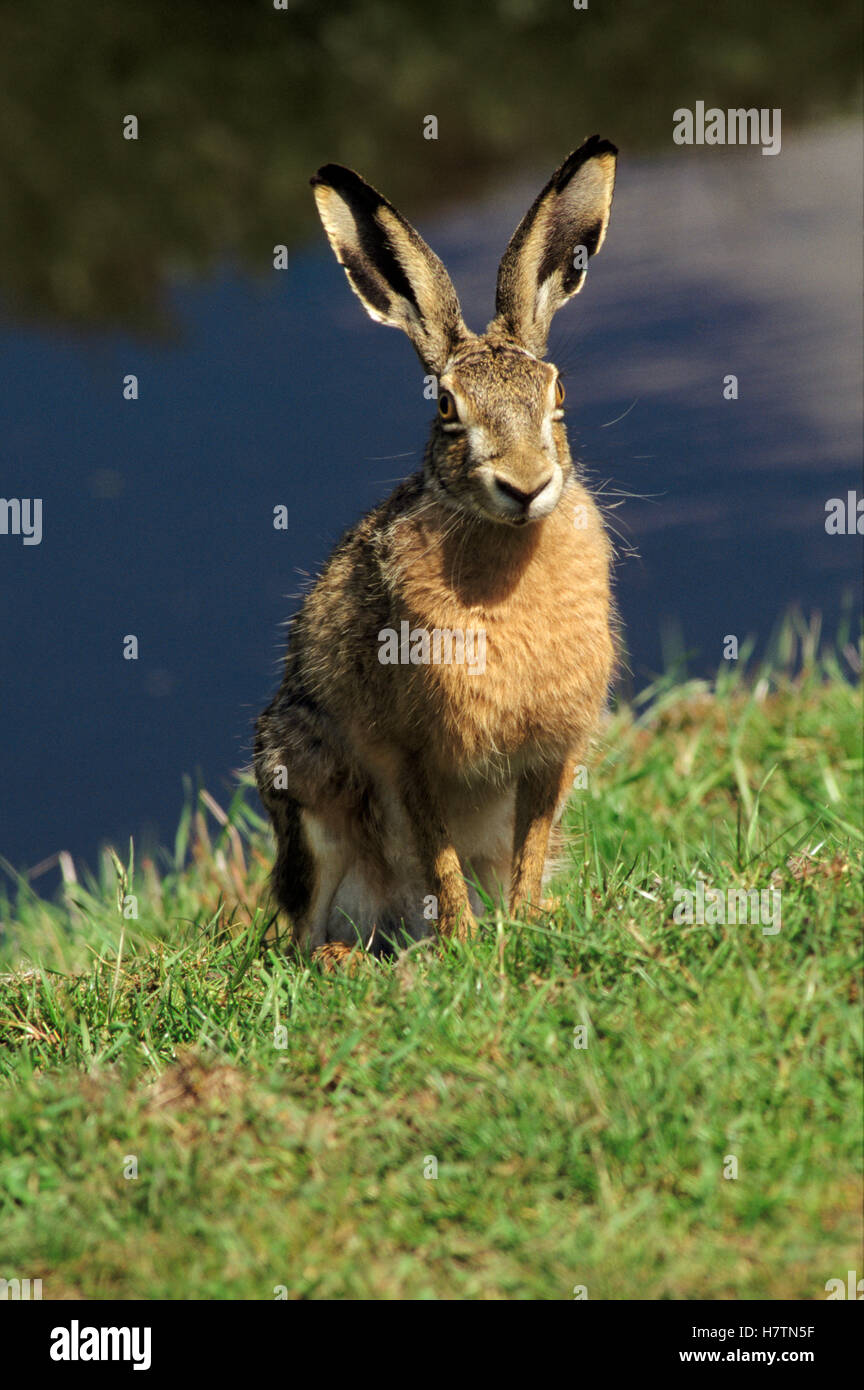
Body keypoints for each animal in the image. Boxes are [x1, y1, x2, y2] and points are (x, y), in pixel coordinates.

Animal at [254, 134, 619, 961]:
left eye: (557, 398)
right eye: (448, 409)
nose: (527, 485)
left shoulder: (553, 750)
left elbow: (530, 842)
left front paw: (526, 923)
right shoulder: (408, 752)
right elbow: (435, 848)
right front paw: (464, 942)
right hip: (305, 787)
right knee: (308, 916)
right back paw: (344, 958)